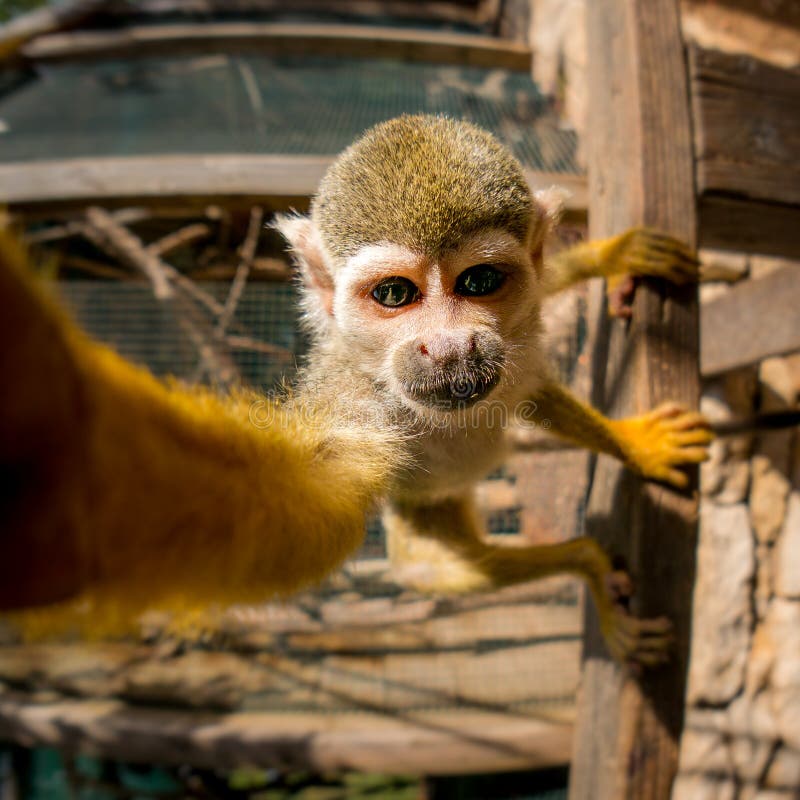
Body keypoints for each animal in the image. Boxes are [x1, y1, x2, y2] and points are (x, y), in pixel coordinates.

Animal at [277, 114, 713, 666]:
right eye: (394, 294)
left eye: (479, 281)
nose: (449, 349)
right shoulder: (349, 402)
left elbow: (535, 390)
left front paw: (636, 444)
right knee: (427, 571)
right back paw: (585, 562)